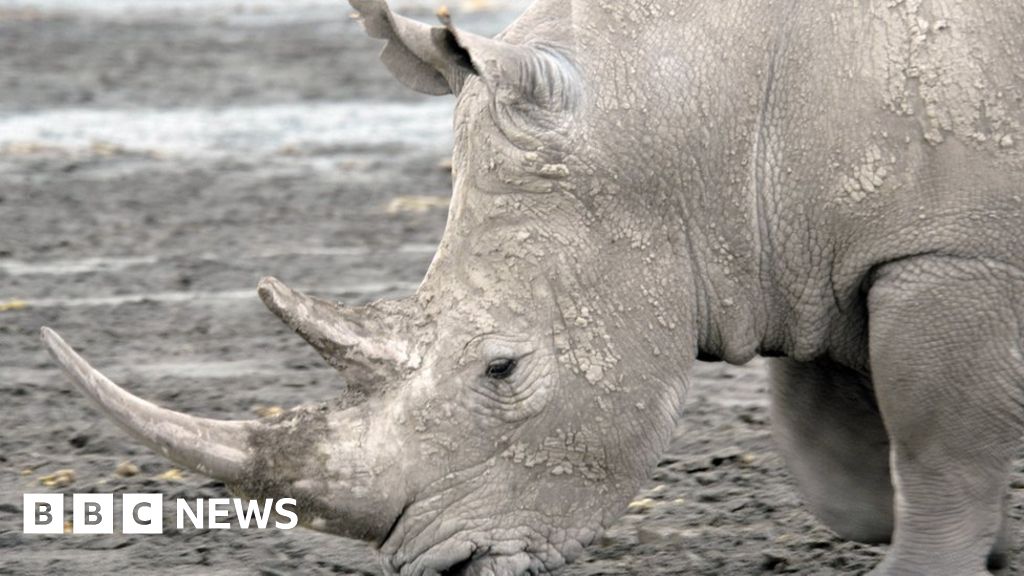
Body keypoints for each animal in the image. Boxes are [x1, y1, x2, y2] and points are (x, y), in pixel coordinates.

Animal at [41, 0, 1024, 574]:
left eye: (503, 368)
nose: (439, 567)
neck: (709, 119)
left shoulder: (953, 254)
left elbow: (936, 454)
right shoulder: (813, 257)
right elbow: (847, 474)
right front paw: (1005, 539)